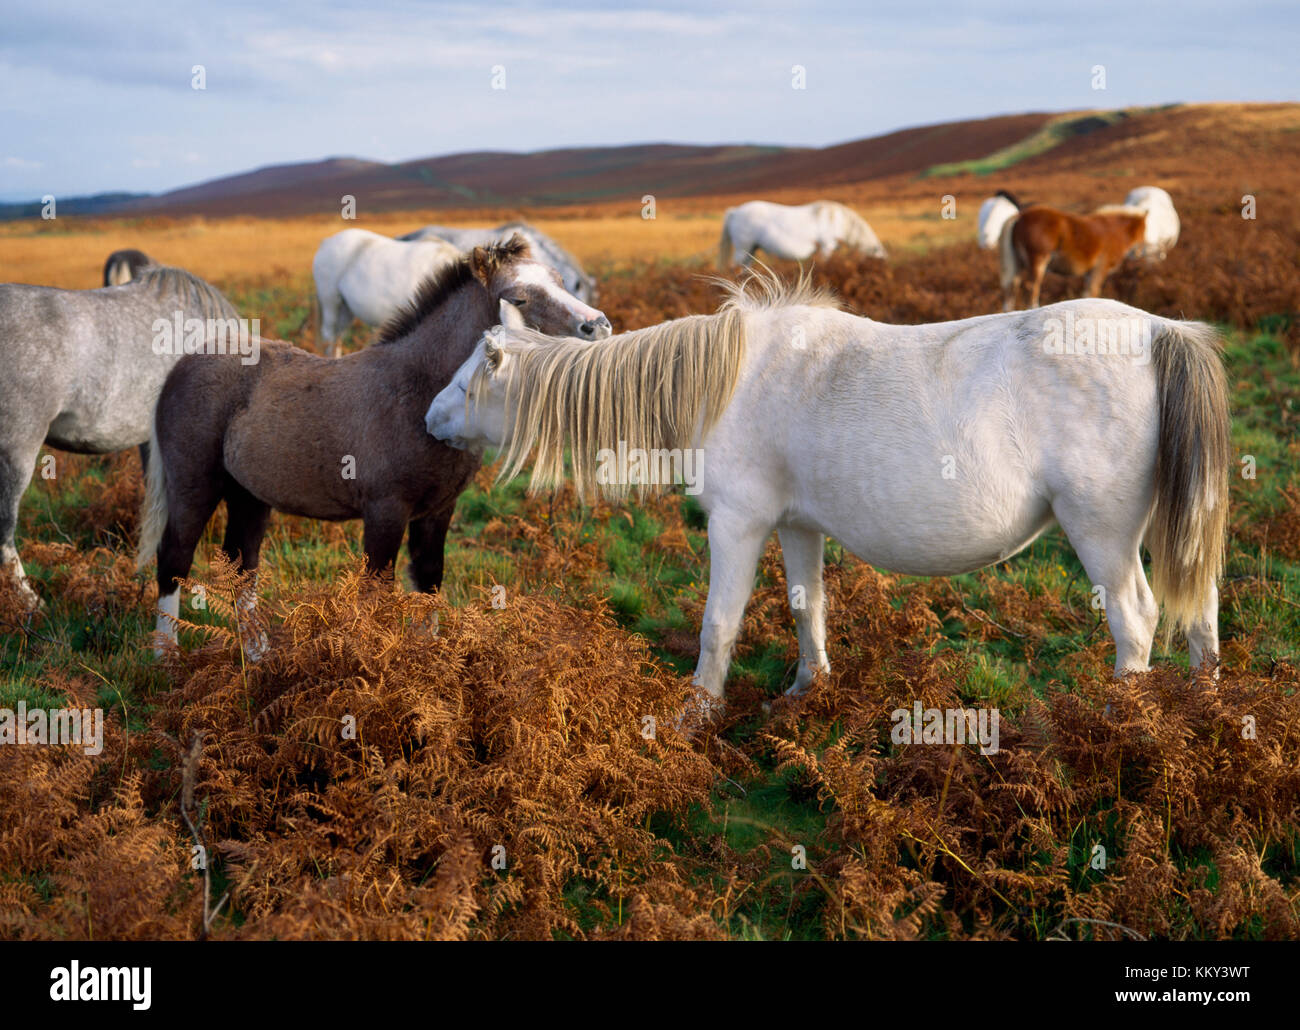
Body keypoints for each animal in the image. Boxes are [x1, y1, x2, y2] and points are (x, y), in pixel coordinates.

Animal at [425, 273, 1230, 716]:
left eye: (469, 379)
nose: (429, 419)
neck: (726, 379)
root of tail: (1161, 331)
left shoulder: (738, 524)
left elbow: (720, 626)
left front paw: (696, 715)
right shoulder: (795, 526)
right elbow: (806, 607)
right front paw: (806, 692)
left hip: (1102, 536)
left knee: (1136, 624)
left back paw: (1118, 723)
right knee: (1199, 616)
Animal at [718, 200, 887, 268]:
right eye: (878, 263)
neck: (837, 220)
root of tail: (735, 212)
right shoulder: (826, 247)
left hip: (751, 250)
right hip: (742, 248)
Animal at [999, 204, 1147, 310]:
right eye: (1144, 230)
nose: (1139, 253)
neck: (1114, 231)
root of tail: (1020, 216)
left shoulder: (1089, 273)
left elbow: (1087, 294)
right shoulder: (1099, 269)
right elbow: (1093, 292)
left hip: (1018, 264)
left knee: (1011, 288)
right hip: (1038, 261)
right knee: (1032, 288)